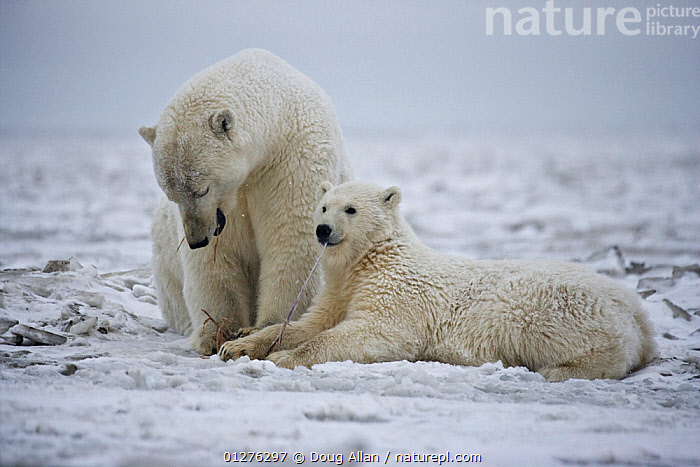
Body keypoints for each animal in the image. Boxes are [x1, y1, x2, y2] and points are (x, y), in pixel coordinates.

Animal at [139, 49, 352, 355]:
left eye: (201, 189)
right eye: (172, 194)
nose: (196, 239)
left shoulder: (292, 159)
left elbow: (291, 236)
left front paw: (265, 327)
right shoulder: (224, 209)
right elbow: (216, 258)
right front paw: (218, 332)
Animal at [219, 181, 658, 382]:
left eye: (351, 209)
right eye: (323, 206)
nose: (323, 230)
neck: (372, 260)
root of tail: (634, 304)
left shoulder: (397, 293)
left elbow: (372, 331)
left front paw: (283, 358)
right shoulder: (340, 288)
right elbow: (308, 322)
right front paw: (237, 344)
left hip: (557, 308)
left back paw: (561, 370)